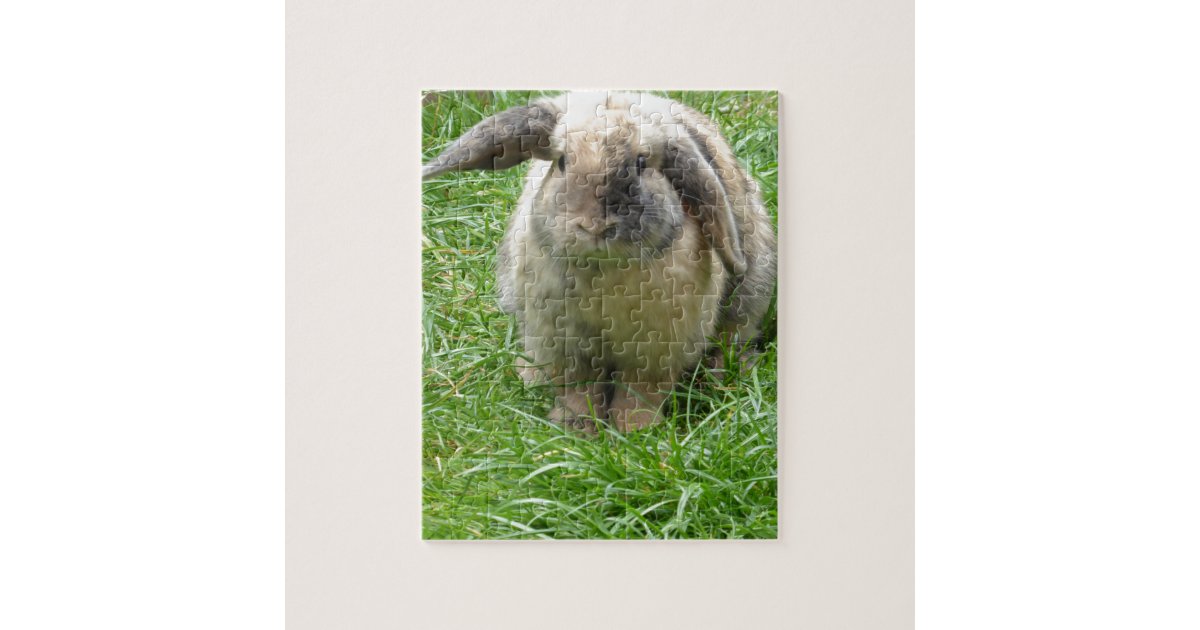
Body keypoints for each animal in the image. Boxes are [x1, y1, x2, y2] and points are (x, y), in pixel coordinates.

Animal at [422, 92, 777, 431]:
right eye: (562, 161)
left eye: (641, 162)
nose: (594, 225)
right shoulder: (567, 345)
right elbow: (579, 390)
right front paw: (576, 429)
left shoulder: (658, 349)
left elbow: (640, 393)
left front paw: (635, 433)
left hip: (749, 298)